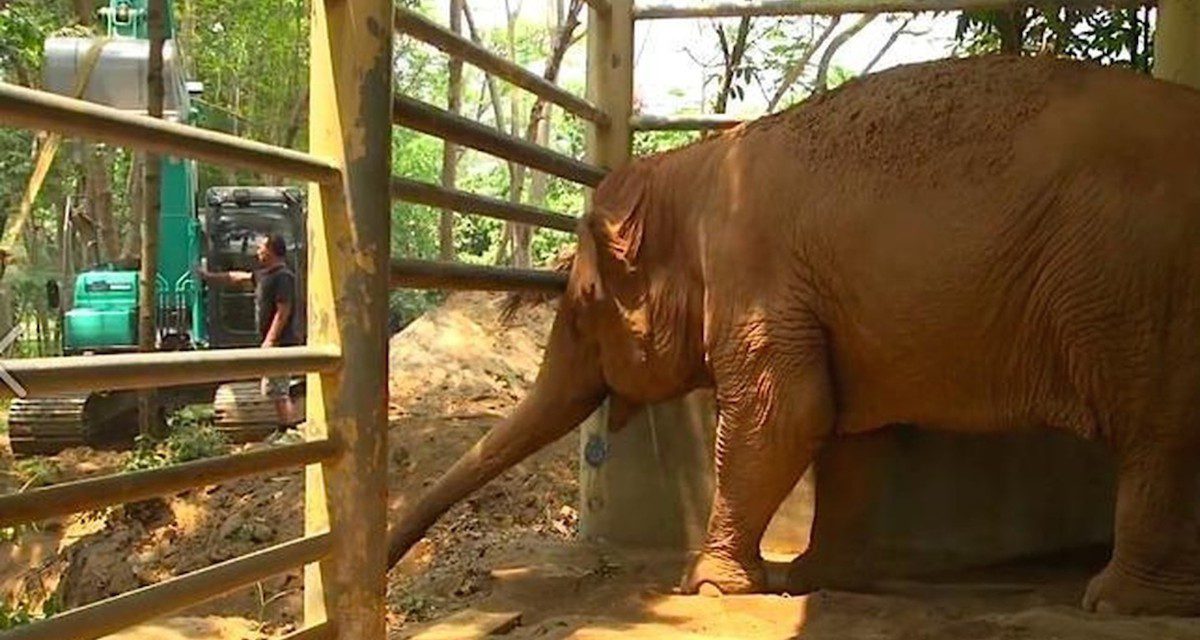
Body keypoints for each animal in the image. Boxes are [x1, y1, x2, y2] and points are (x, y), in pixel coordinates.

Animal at [386, 55, 1200, 616]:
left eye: (583, 307)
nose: (390, 566)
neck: (692, 173)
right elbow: (846, 434)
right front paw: (817, 578)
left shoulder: (756, 273)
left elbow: (784, 416)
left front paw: (705, 586)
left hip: (1145, 290)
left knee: (1158, 433)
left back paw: (1120, 601)